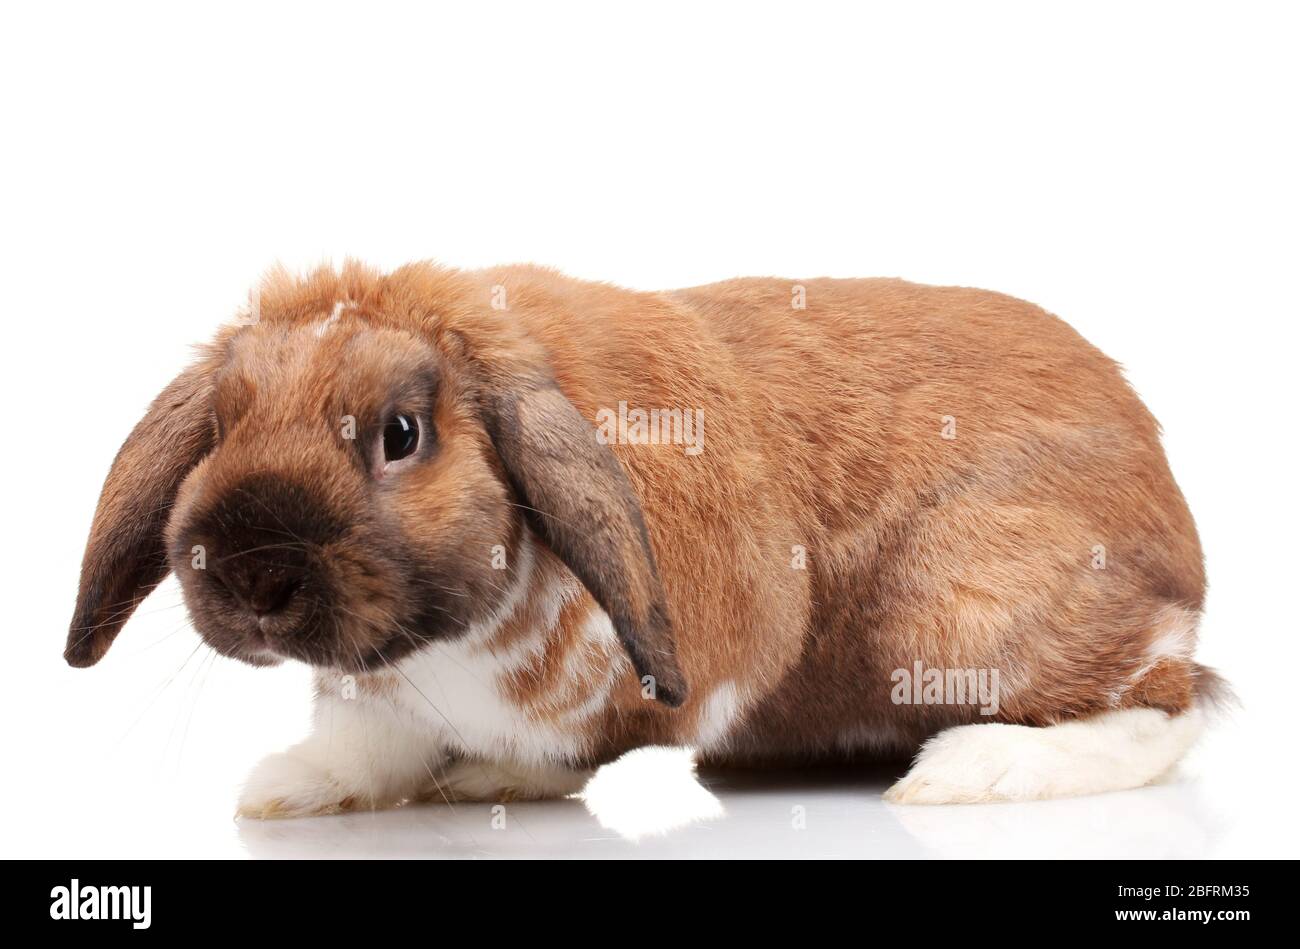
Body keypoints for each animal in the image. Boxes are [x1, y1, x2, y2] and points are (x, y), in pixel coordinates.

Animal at [66, 261, 1223, 816]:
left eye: (401, 433)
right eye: (221, 426)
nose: (251, 574)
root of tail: (1176, 525)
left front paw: (485, 781)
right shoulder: (378, 694)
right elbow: (363, 737)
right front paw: (288, 789)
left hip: (954, 618)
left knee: (1167, 709)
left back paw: (970, 771)